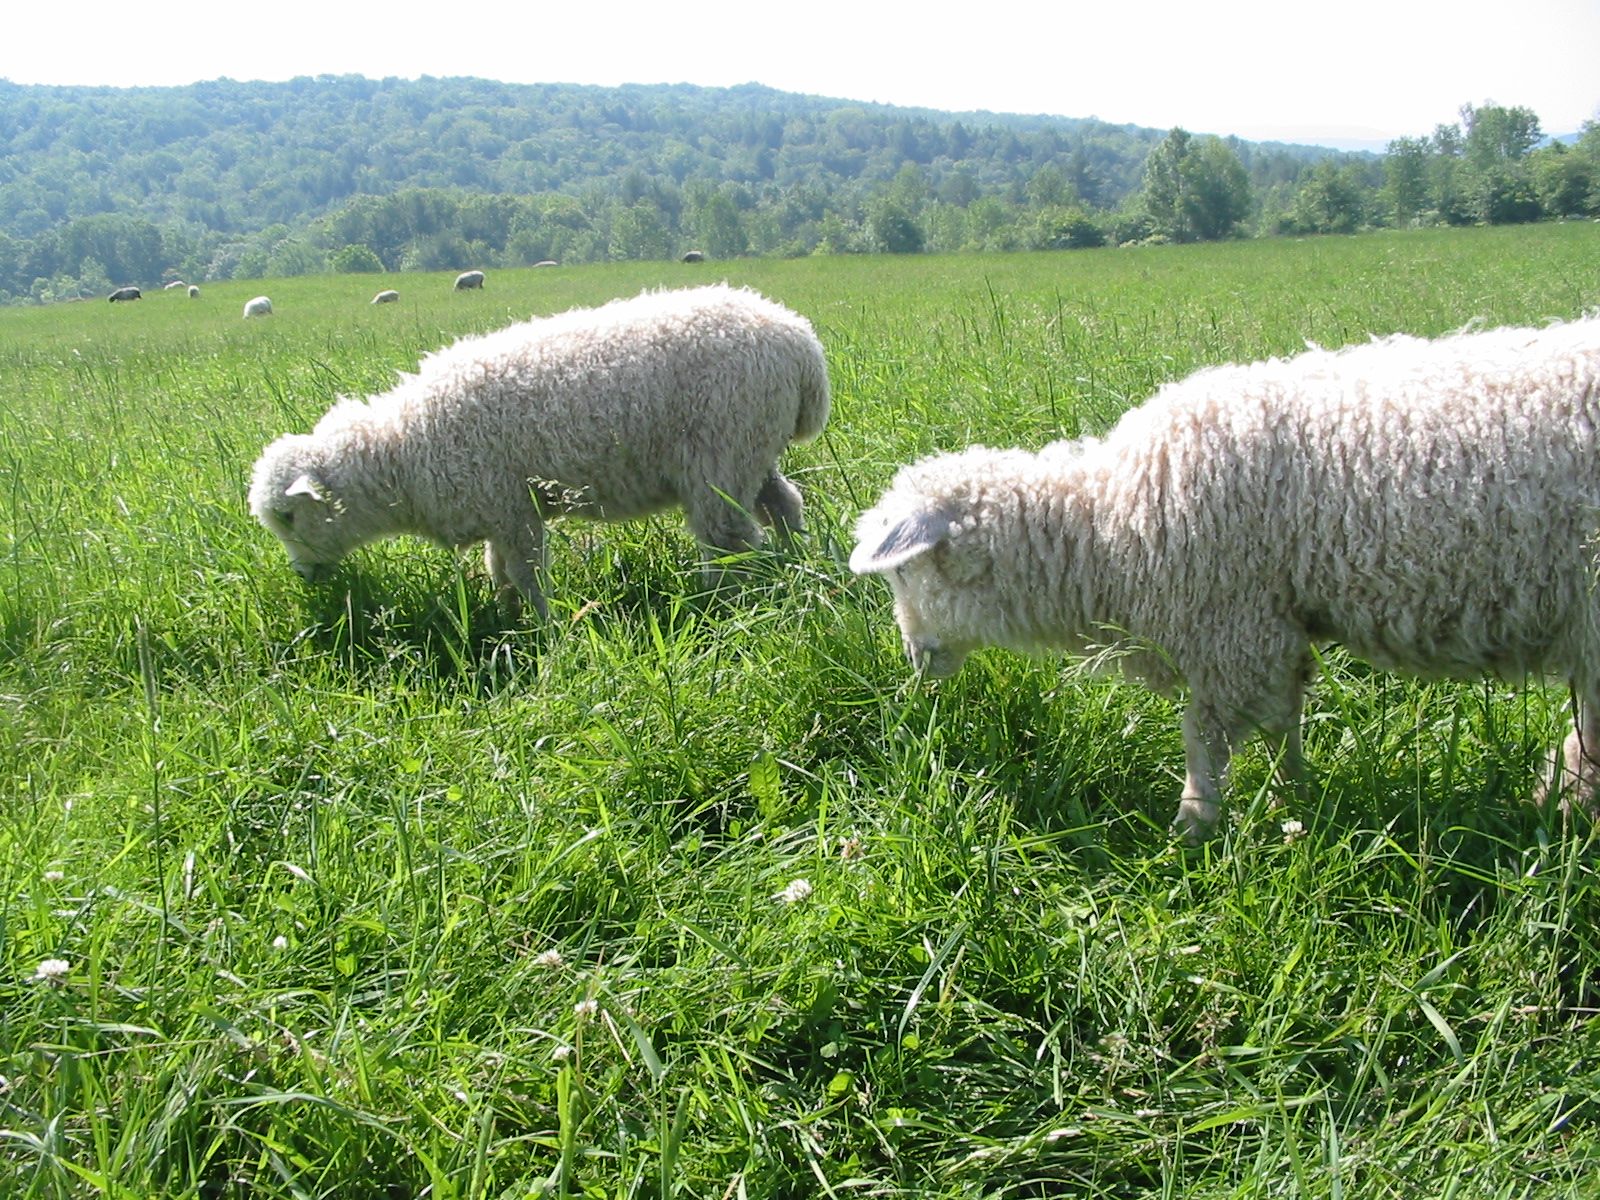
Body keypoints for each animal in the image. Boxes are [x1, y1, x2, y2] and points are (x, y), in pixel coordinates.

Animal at [250, 284, 831, 621]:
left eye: (288, 515)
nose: (303, 576)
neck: (402, 452)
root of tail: (800, 343)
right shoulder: (496, 511)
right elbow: (499, 570)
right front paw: (506, 617)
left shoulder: (512, 508)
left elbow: (526, 572)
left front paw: (544, 629)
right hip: (750, 447)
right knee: (782, 503)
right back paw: (799, 562)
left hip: (720, 451)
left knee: (730, 538)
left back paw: (720, 602)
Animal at [850, 318, 1600, 842]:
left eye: (903, 573)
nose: (915, 660)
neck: (1106, 524)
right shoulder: (1270, 625)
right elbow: (1283, 720)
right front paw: (1295, 800)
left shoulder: (1231, 624)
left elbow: (1207, 738)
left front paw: (1192, 829)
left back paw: (1562, 811)